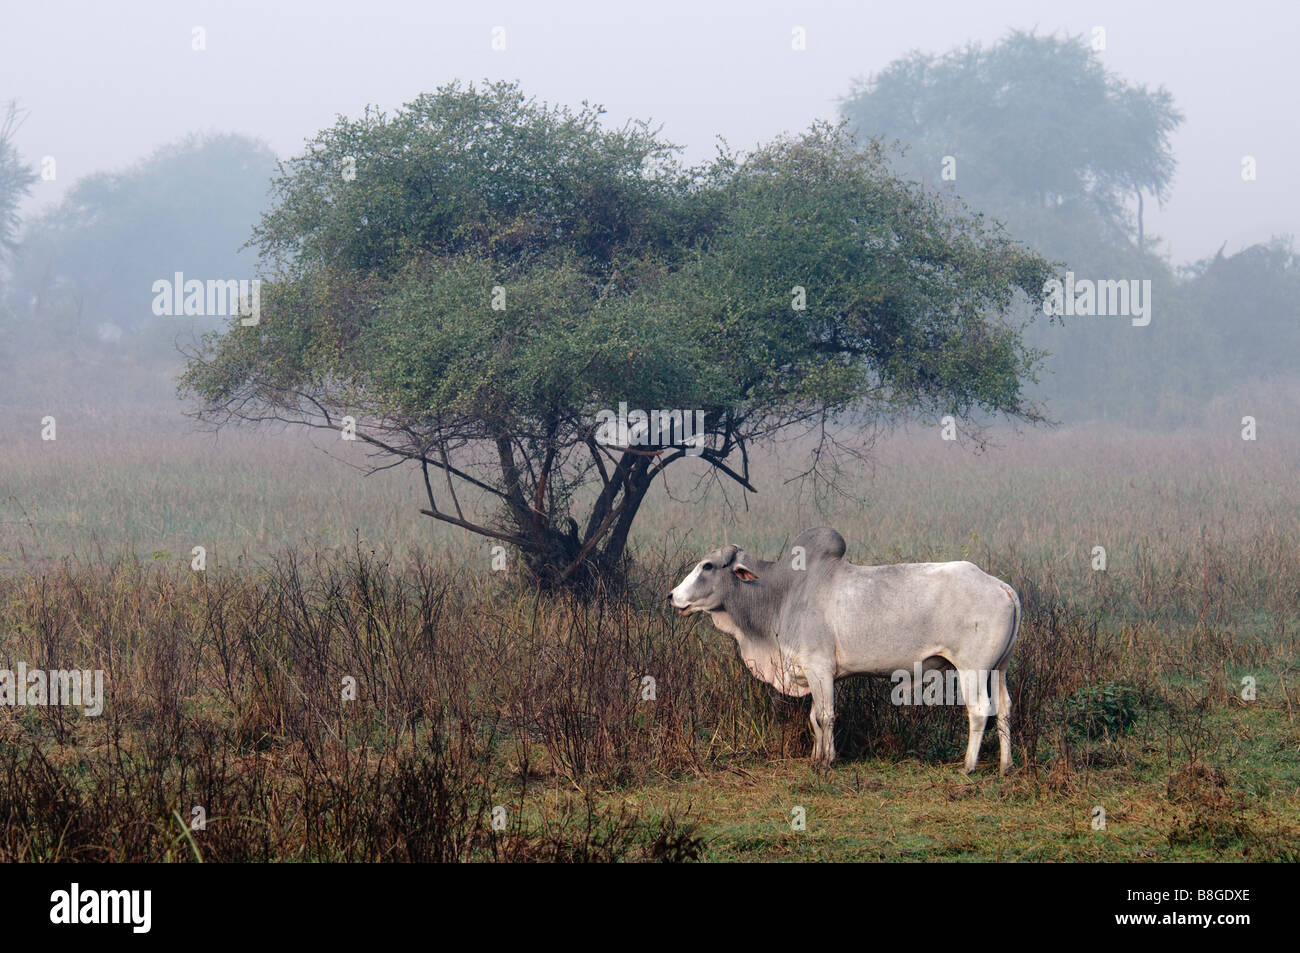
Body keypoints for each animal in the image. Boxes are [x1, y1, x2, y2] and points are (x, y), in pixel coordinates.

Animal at [668, 527, 1021, 774]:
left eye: (708, 566)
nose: (672, 596)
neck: (781, 595)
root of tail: (1000, 585)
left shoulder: (819, 667)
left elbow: (825, 716)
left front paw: (827, 761)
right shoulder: (817, 674)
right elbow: (813, 717)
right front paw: (816, 757)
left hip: (973, 668)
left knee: (980, 710)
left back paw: (968, 766)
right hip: (999, 668)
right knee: (1004, 709)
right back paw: (1006, 766)